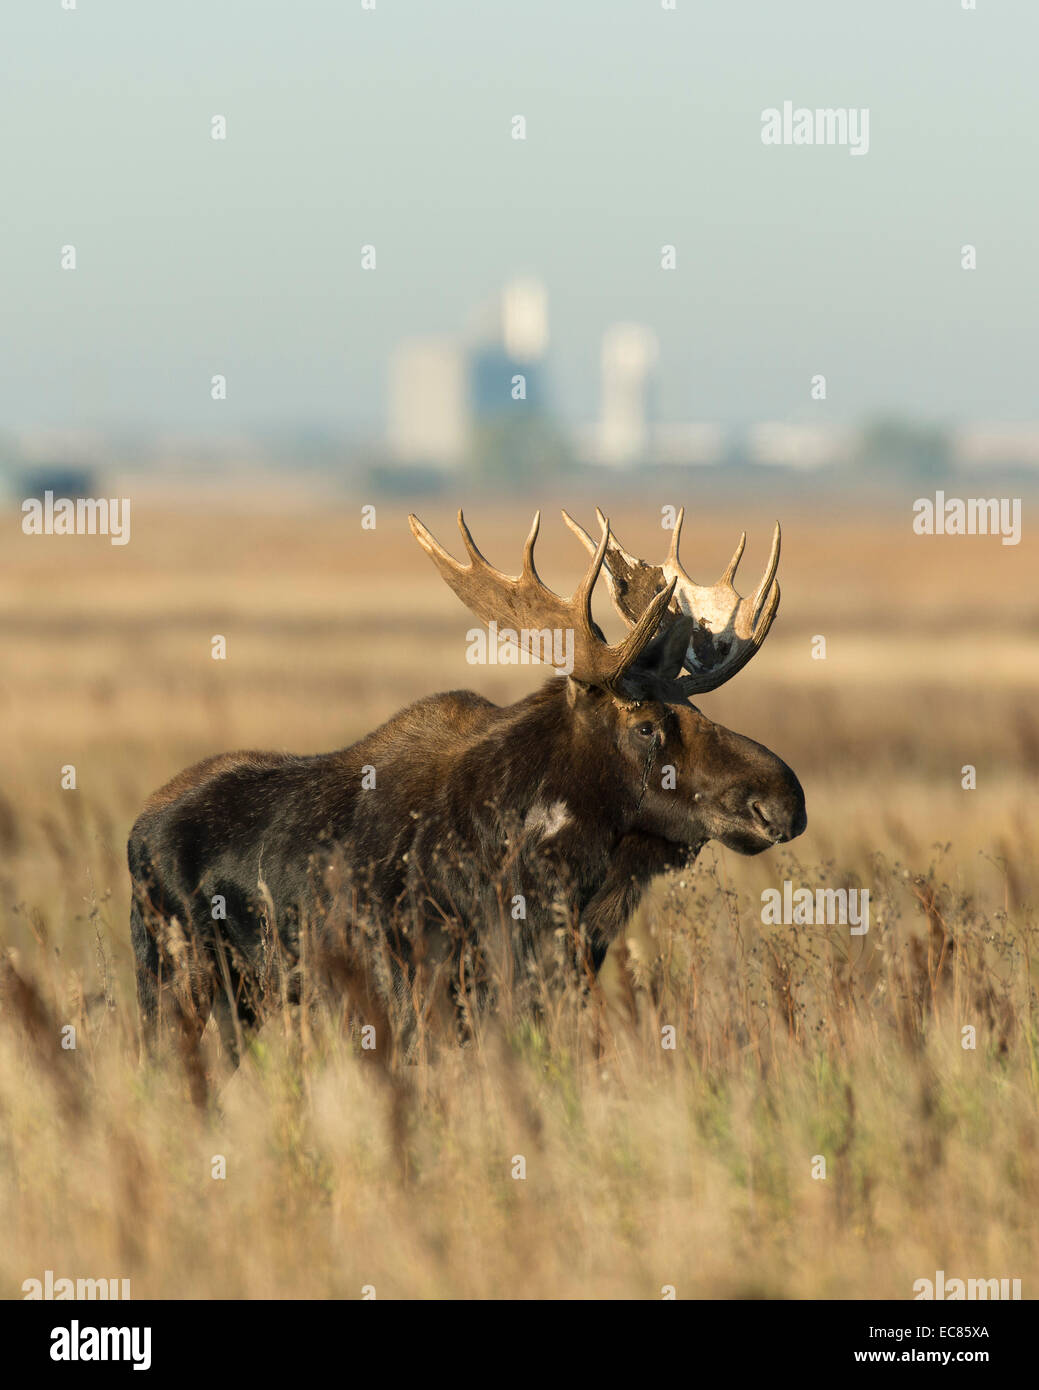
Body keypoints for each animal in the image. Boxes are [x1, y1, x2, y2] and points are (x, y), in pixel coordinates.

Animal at [128, 508, 805, 1078]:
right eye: (645, 725)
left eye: (695, 706)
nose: (784, 800)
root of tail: (136, 831)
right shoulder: (407, 997)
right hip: (177, 981)